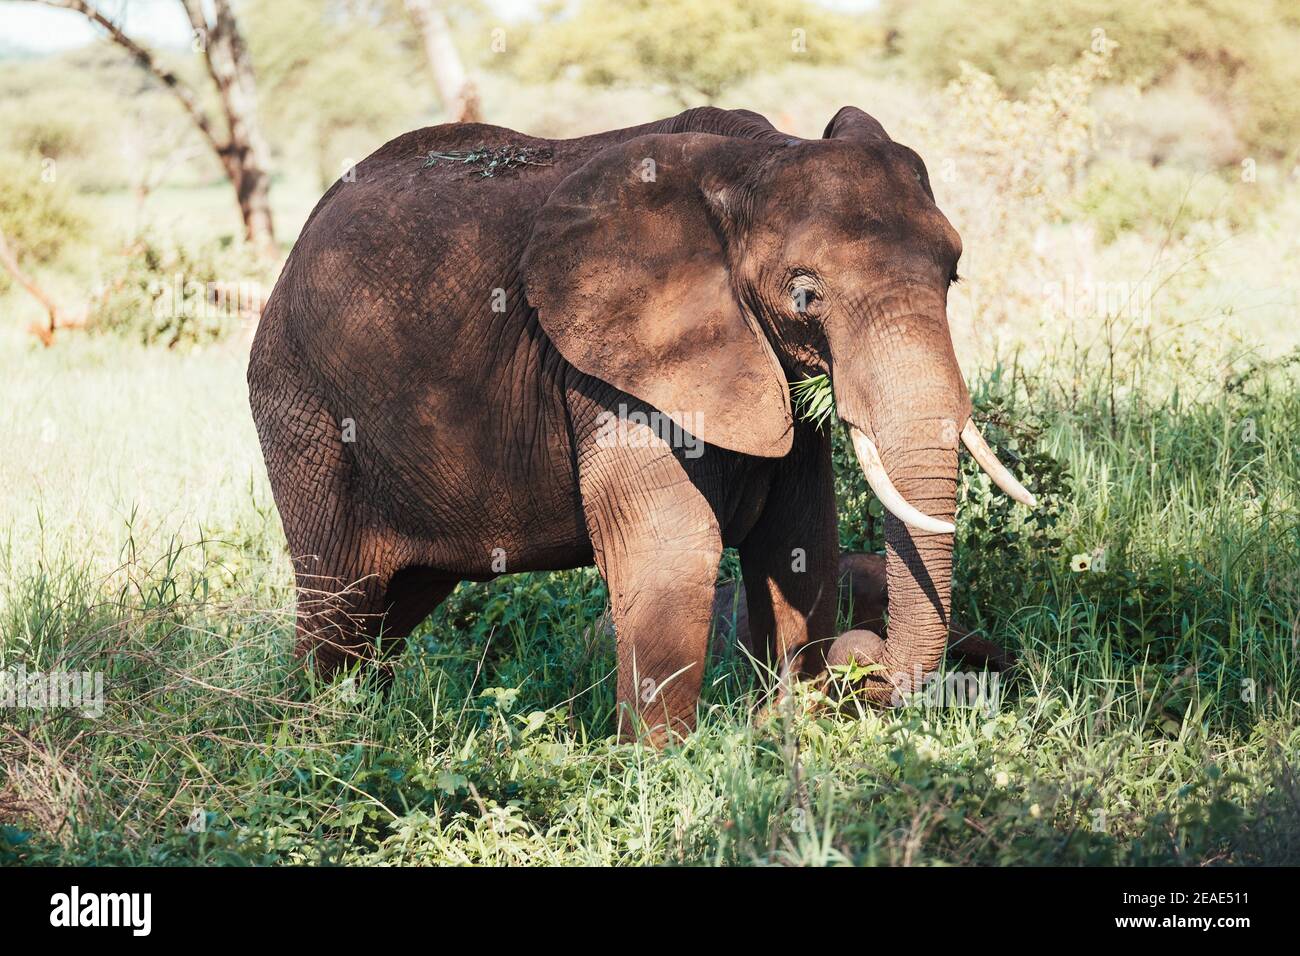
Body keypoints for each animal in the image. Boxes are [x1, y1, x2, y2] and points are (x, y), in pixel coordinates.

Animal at [248, 105, 1033, 744]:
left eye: (954, 275)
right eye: (805, 295)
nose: (856, 669)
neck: (754, 160)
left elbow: (800, 535)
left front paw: (784, 732)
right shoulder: (614, 368)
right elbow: (673, 544)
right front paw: (666, 767)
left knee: (392, 610)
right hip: (302, 409)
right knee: (340, 604)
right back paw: (321, 740)